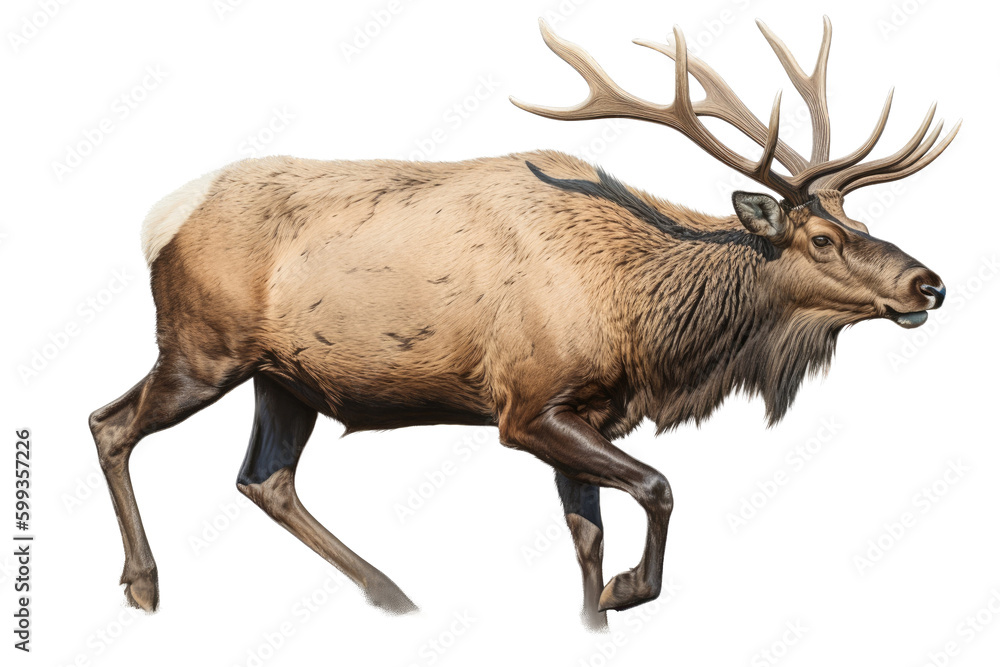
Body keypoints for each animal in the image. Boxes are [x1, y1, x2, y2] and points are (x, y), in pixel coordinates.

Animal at [89, 16, 958, 629]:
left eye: (860, 220)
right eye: (821, 239)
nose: (930, 282)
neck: (645, 327)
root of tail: (156, 221)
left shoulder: (588, 411)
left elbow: (586, 535)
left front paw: (593, 613)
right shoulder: (529, 404)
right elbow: (658, 485)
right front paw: (627, 590)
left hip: (284, 376)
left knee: (262, 477)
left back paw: (392, 594)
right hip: (203, 350)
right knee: (110, 422)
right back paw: (145, 584)